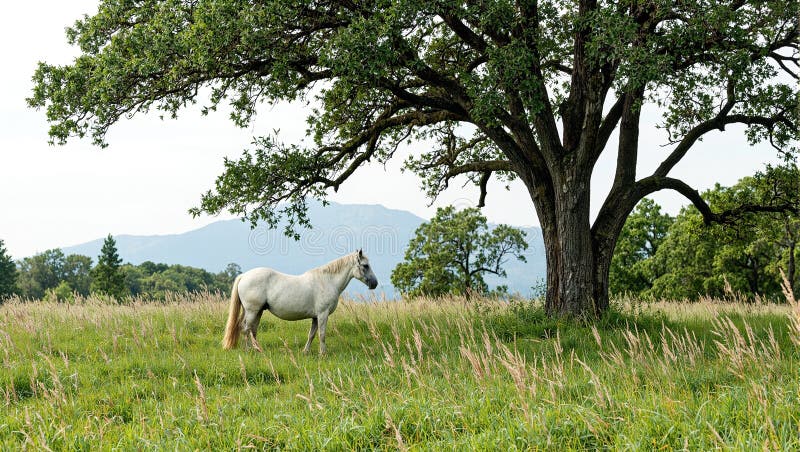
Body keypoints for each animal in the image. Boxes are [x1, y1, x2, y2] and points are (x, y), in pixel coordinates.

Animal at [222, 249, 378, 354]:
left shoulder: (315, 317)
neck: (327, 281)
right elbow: (322, 334)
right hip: (252, 311)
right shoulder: (322, 314)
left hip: (258, 311)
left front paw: (306, 352)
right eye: (365, 265)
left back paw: (258, 349)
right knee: (245, 329)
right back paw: (249, 350)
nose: (374, 284)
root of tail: (244, 276)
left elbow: (312, 334)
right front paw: (323, 353)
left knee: (252, 330)